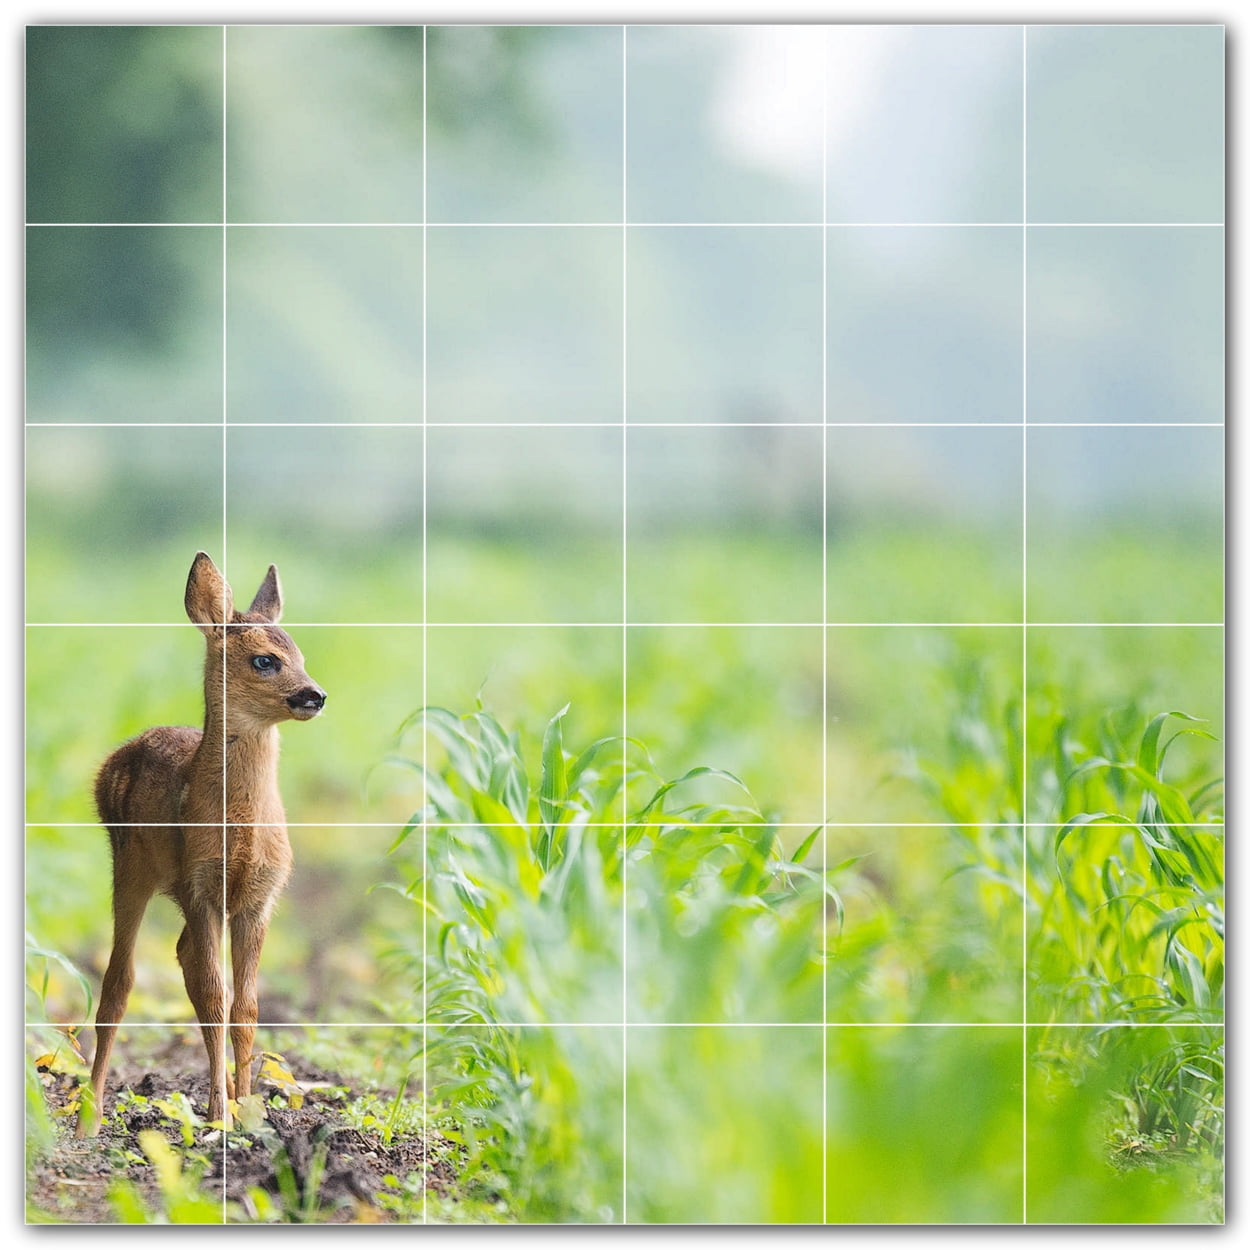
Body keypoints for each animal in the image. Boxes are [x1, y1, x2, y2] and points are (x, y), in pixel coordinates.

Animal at [75, 552, 326, 1138]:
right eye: (264, 661)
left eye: (300, 654)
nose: (315, 695)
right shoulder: (201, 884)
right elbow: (216, 997)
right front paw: (219, 1117)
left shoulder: (259, 897)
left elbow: (247, 1006)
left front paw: (249, 1110)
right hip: (130, 866)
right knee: (119, 983)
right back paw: (88, 1122)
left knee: (183, 958)